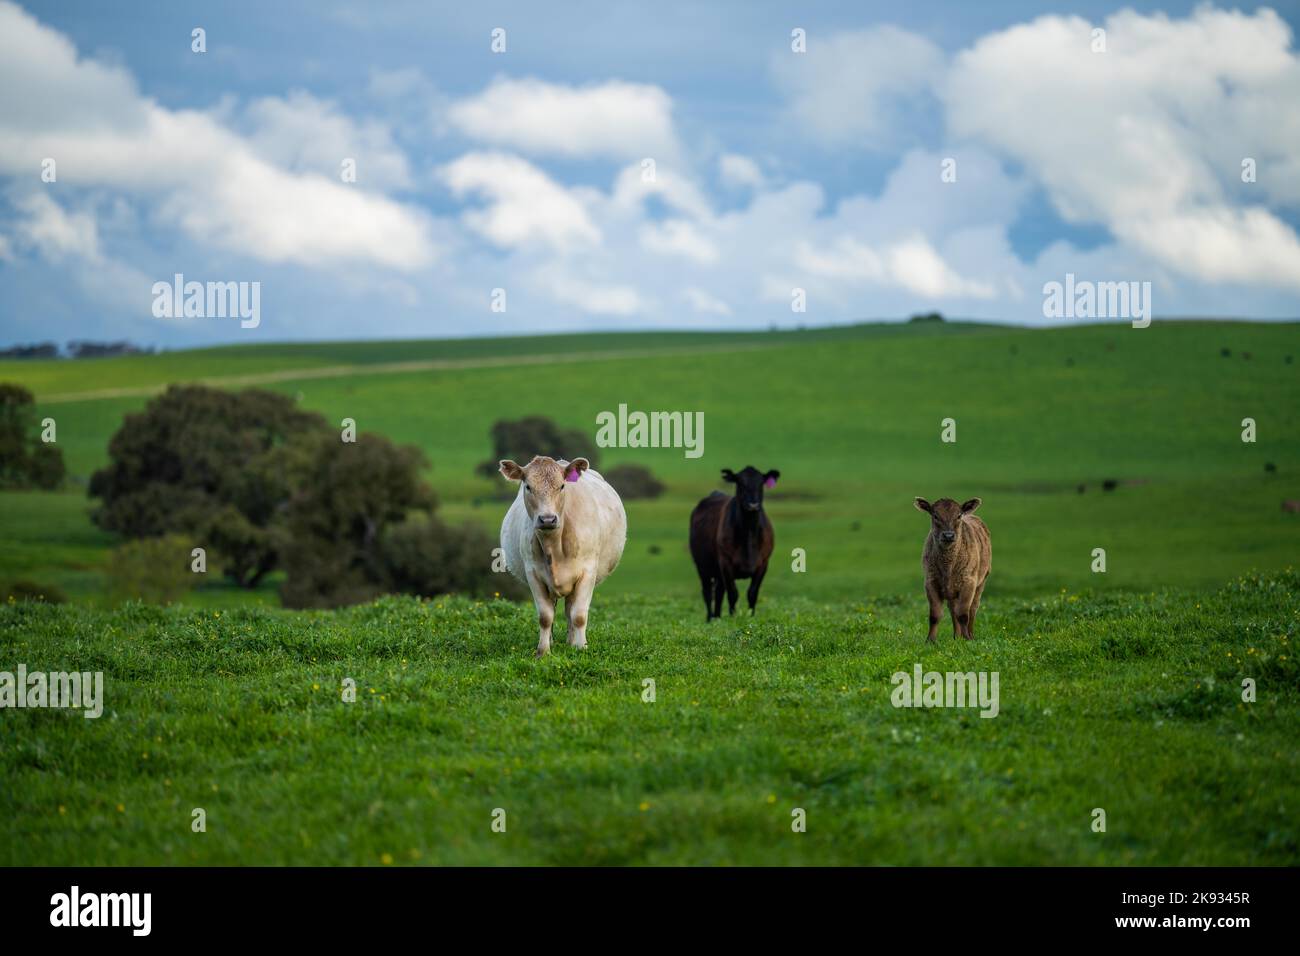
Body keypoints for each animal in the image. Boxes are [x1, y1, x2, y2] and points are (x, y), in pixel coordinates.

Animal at [499, 456, 627, 657]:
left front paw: (580, 647)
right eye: (528, 486)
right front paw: (543, 651)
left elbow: (579, 615)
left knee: (570, 610)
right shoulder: (533, 574)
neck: (554, 546)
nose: (547, 519)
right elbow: (545, 616)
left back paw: (571, 641)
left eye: (561, 486)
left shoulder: (588, 572)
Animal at [689, 466, 779, 621]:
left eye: (761, 483)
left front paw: (751, 617)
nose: (753, 504)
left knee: (719, 592)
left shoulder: (763, 563)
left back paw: (717, 617)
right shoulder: (726, 563)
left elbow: (752, 593)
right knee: (708, 592)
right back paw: (710, 618)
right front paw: (733, 618)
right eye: (740, 483)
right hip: (702, 566)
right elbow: (733, 593)